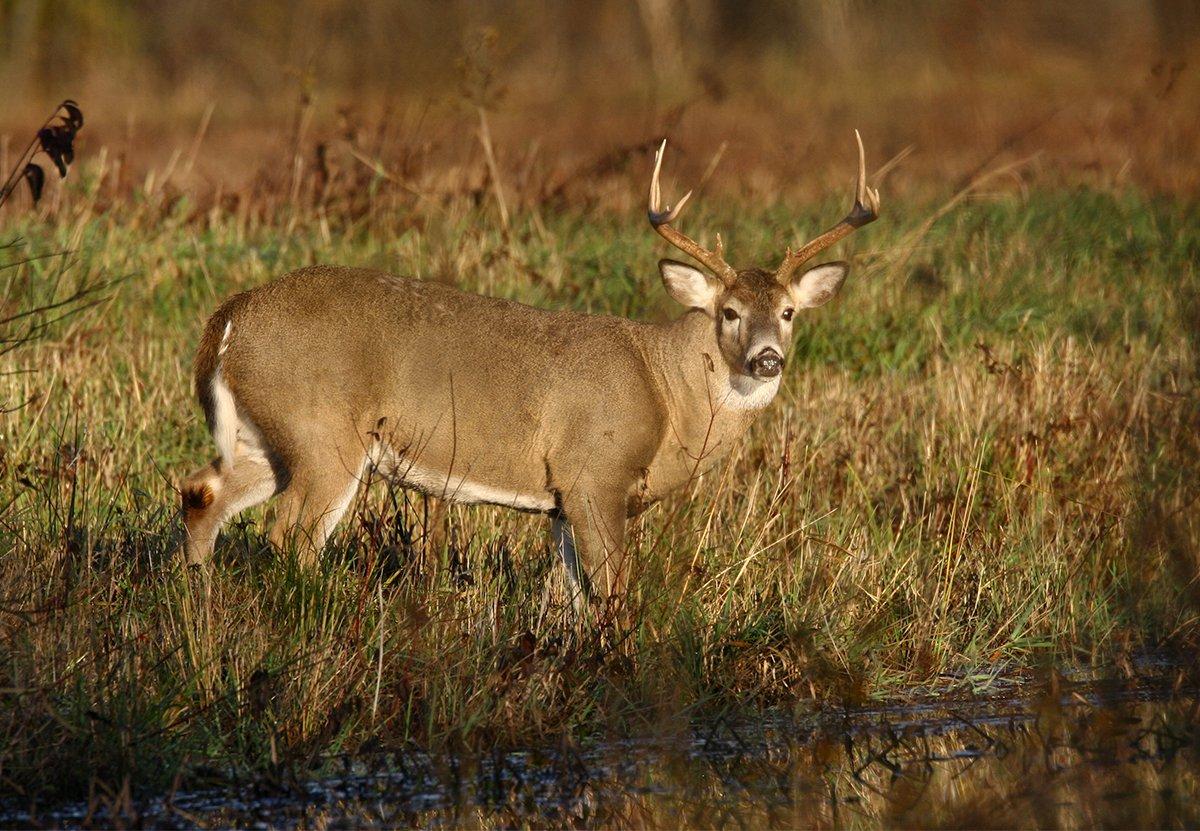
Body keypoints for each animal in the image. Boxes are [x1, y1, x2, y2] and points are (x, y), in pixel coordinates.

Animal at [182, 131, 883, 610]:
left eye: (788, 312)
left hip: (267, 437)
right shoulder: (594, 472)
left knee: (203, 493)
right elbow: (613, 594)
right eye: (730, 312)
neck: (664, 390)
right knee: (290, 534)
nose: (767, 357)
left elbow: (568, 600)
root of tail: (232, 316)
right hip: (324, 433)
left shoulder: (561, 502)